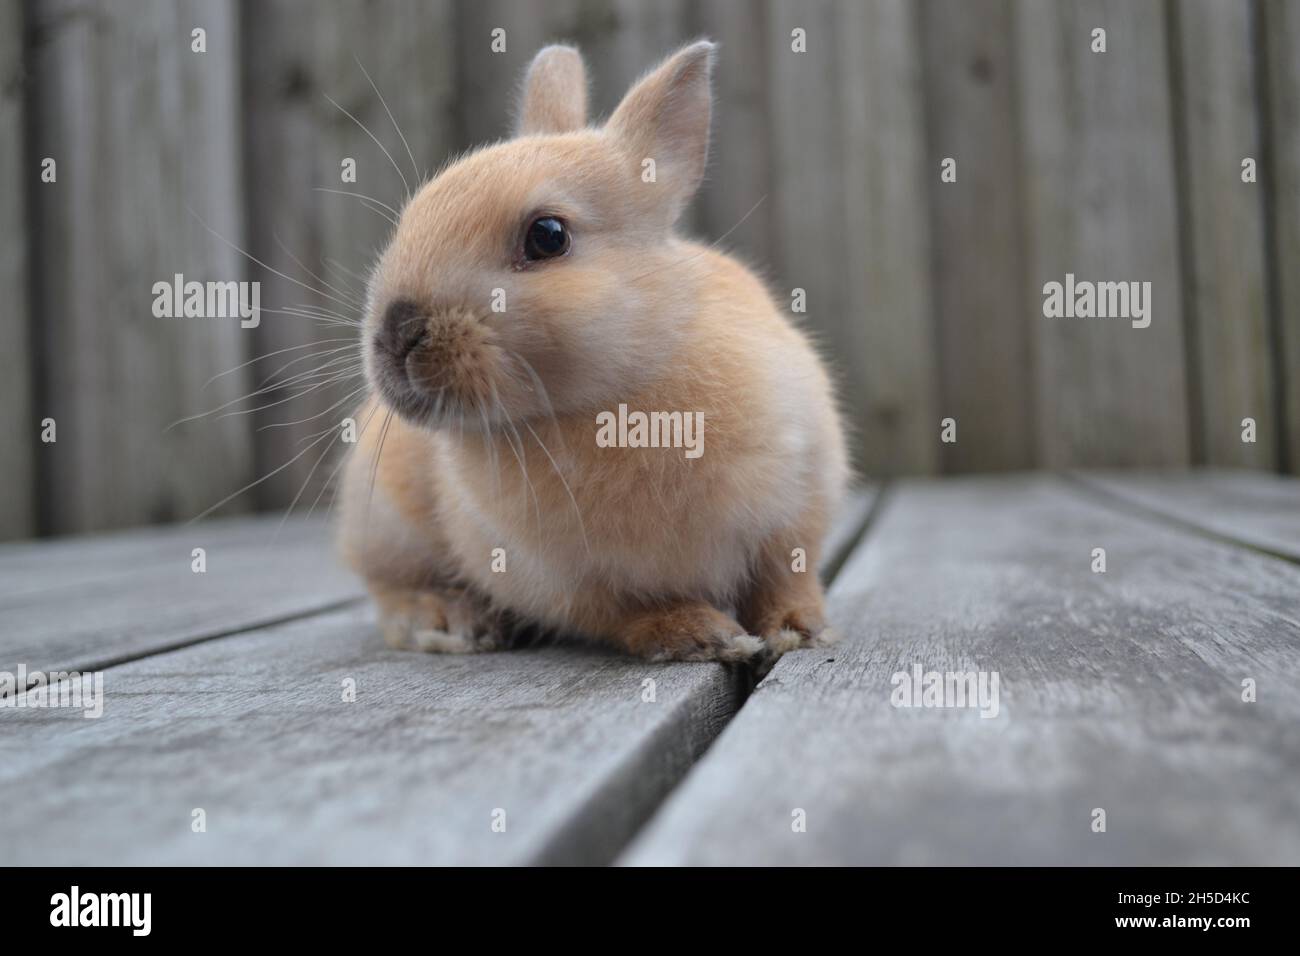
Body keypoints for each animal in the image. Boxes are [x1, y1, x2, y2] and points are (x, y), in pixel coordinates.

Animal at [337, 40, 848, 662]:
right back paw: (448, 622)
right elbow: (625, 613)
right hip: (385, 524)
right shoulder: (559, 581)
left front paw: (798, 630)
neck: (618, 399)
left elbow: (786, 577)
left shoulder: (799, 506)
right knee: (391, 589)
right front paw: (701, 635)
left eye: (548, 236)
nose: (396, 335)